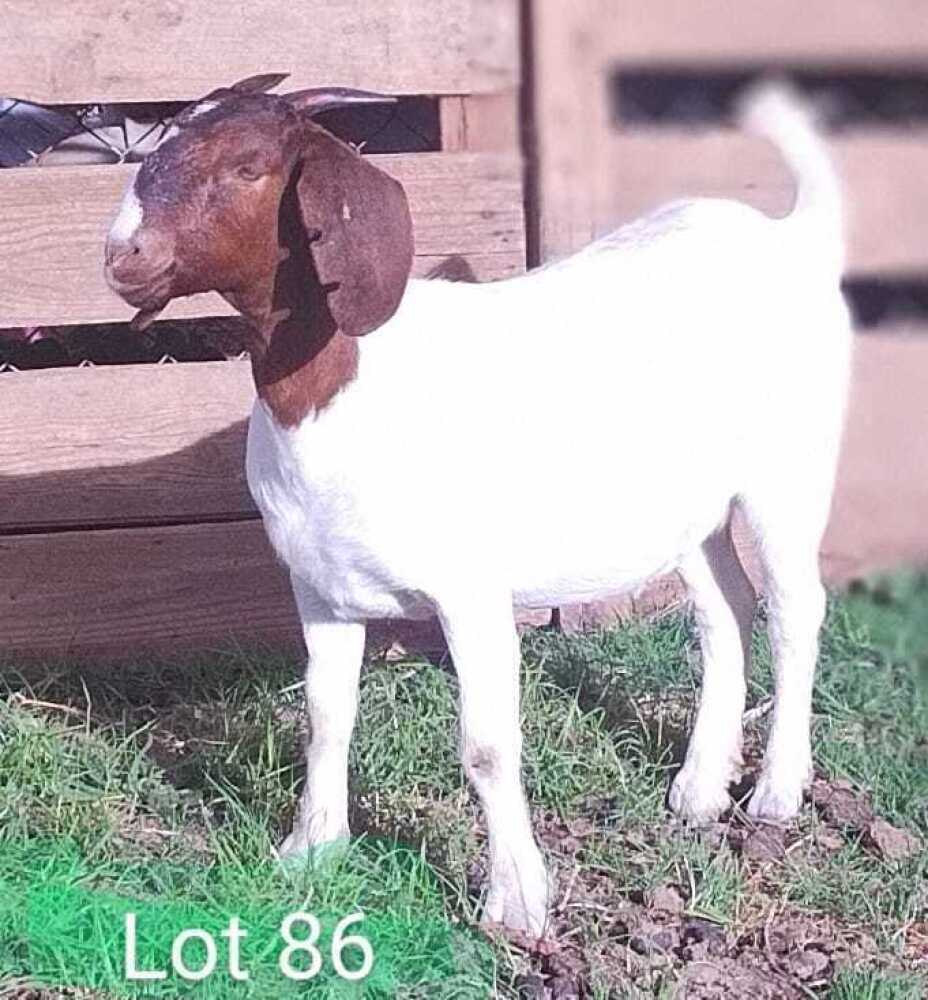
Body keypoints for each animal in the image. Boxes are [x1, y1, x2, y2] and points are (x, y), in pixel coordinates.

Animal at [104, 76, 851, 936]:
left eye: (249, 165)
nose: (121, 257)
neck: (350, 383)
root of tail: (794, 237)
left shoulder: (472, 595)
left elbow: (488, 747)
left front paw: (517, 900)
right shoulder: (320, 589)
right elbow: (326, 716)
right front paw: (311, 849)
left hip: (788, 472)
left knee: (795, 609)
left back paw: (775, 792)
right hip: (686, 508)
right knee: (726, 605)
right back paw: (699, 789)